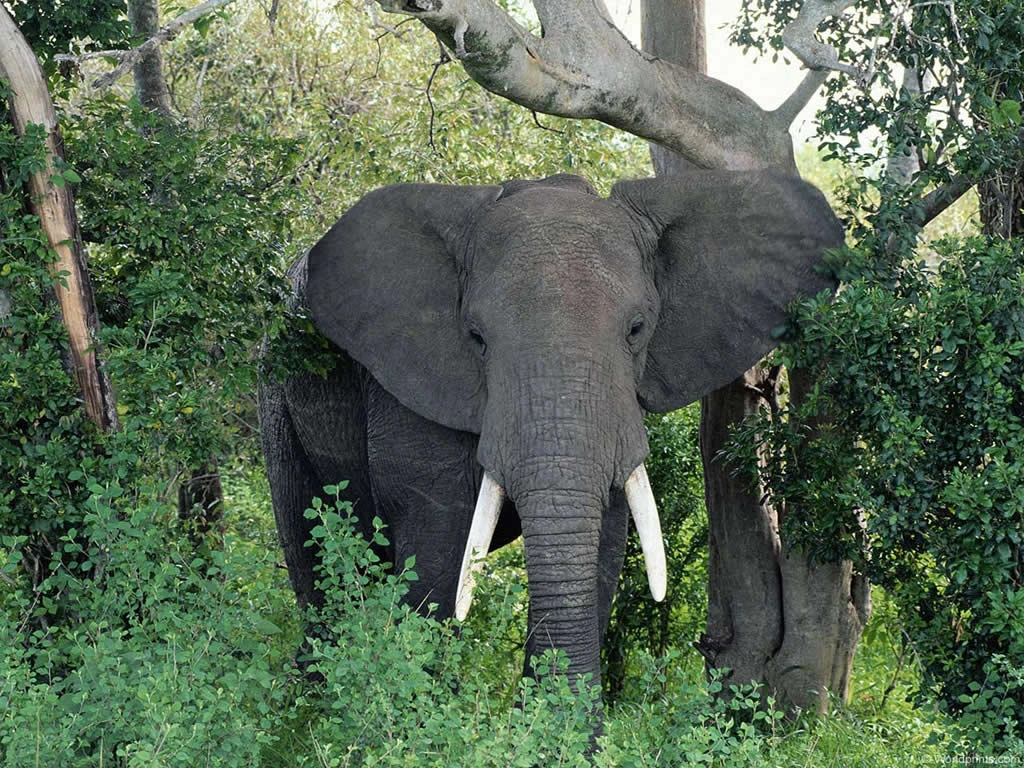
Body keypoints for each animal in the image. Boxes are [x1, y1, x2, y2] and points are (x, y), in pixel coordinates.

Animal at [258, 169, 843, 699]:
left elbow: (603, 546)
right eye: (475, 338)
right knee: (314, 555)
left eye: (637, 330)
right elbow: (438, 553)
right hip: (275, 394)